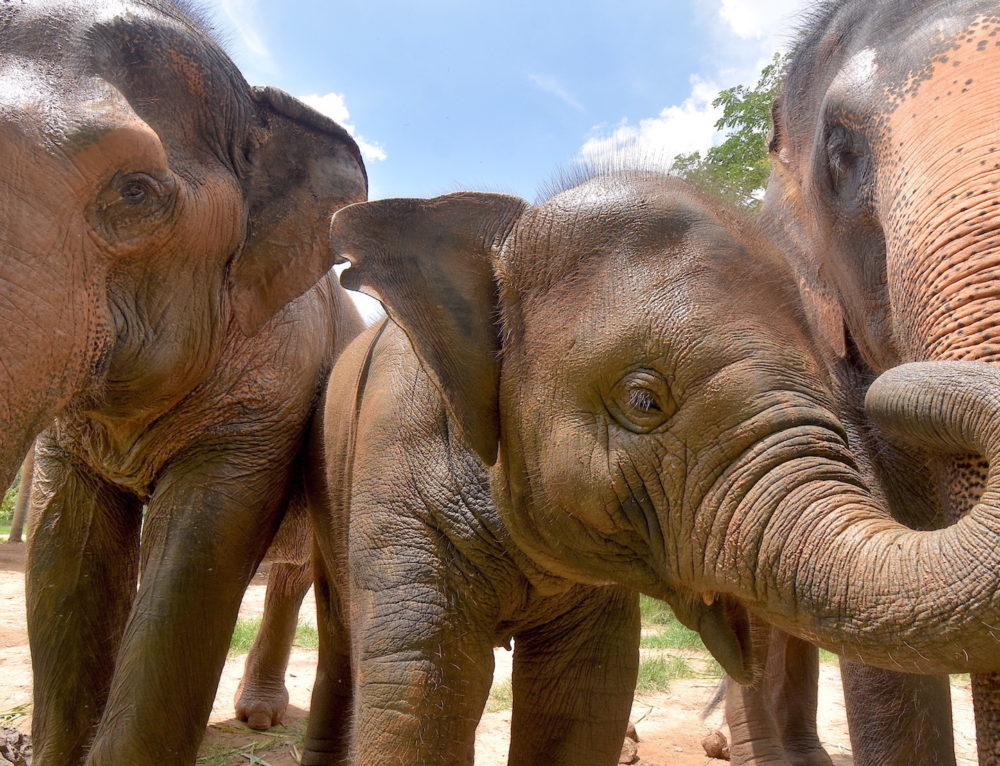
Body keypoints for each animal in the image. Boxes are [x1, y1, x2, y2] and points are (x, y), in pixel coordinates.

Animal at [0, 1, 367, 763]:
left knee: (301, 571)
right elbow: (64, 550)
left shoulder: (272, 385)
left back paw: (262, 719)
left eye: (137, 192)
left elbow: (198, 556)